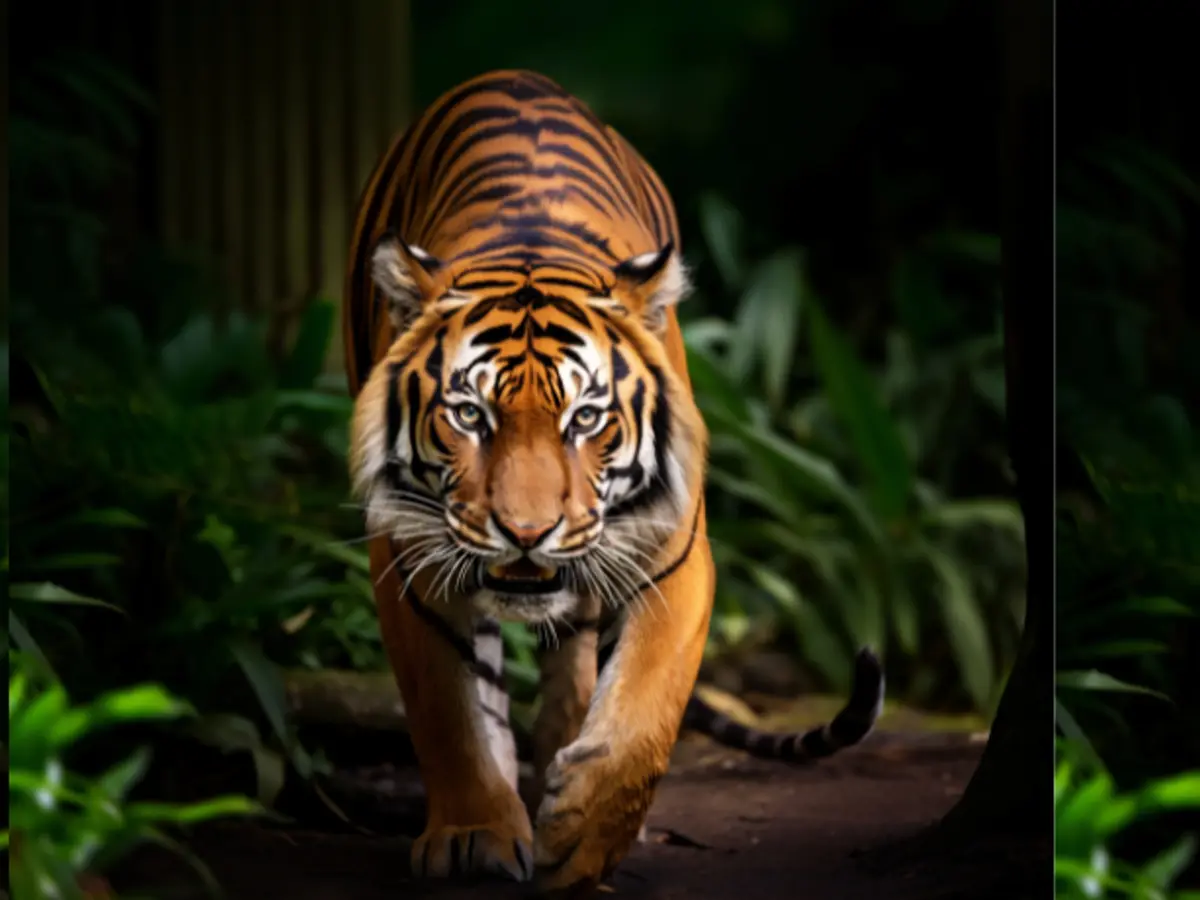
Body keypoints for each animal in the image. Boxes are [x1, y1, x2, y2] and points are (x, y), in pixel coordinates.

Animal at [343, 69, 885, 895]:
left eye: (586, 417)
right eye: (469, 414)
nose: (525, 533)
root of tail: (509, 77)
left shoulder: (675, 555)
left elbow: (643, 714)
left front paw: (583, 837)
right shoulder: (407, 554)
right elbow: (448, 710)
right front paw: (474, 832)